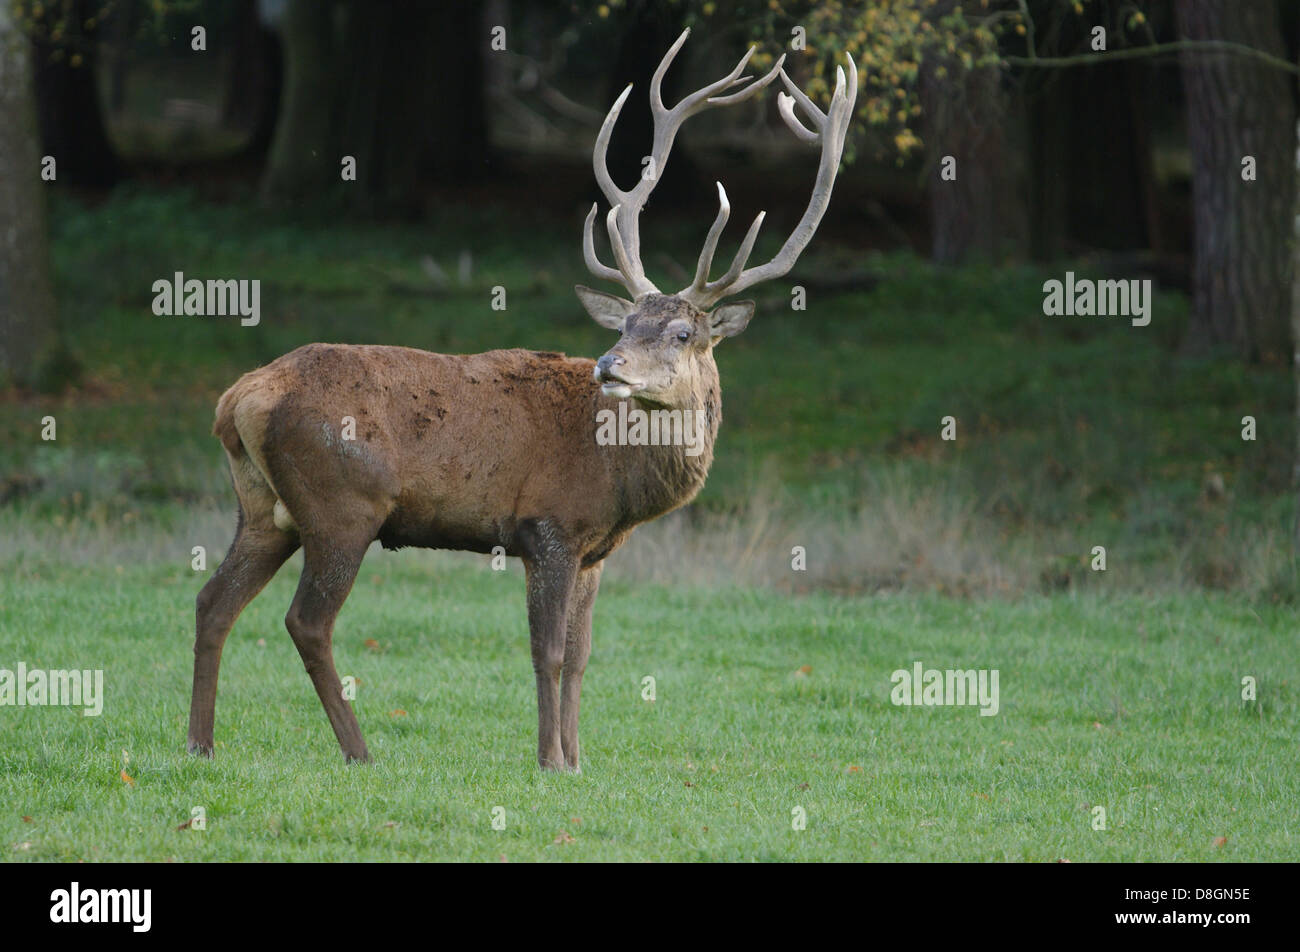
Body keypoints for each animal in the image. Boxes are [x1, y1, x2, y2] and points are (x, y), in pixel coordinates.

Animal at [187, 28, 856, 771]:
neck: (620, 478)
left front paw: (578, 759)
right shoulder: (548, 526)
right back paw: (359, 751)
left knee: (212, 602)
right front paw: (550, 760)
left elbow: (585, 655)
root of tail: (237, 400)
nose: (609, 366)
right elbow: (549, 652)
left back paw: (201, 744)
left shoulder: (595, 550)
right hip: (342, 505)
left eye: (681, 333)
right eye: (625, 324)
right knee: (305, 621)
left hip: (263, 508)